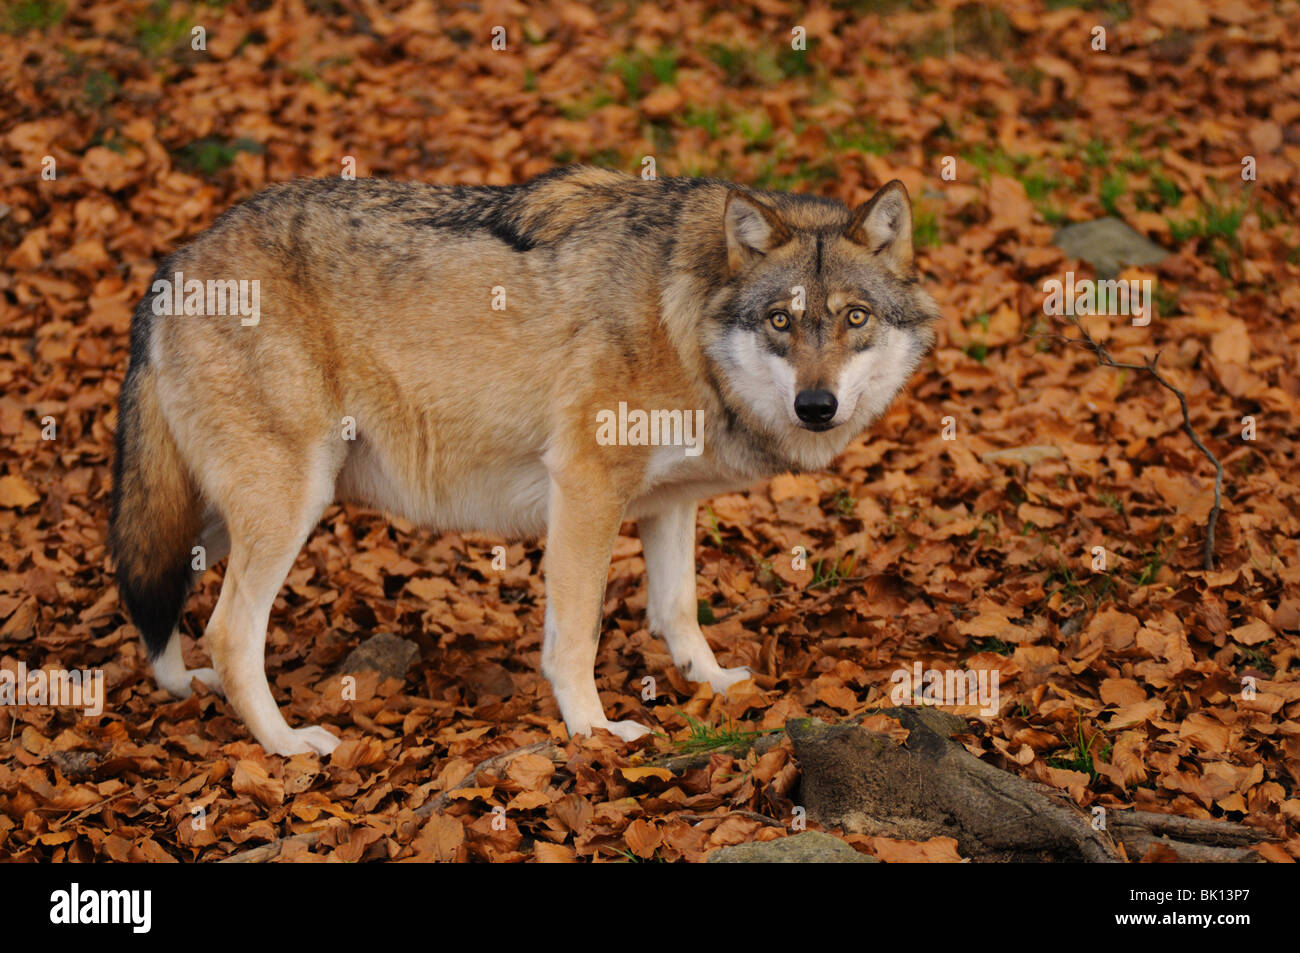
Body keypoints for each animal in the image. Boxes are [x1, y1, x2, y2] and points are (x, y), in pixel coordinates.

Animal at [109, 166, 940, 756]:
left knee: (154, 595)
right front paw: (596, 732)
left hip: (223, 514)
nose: (816, 405)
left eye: (854, 318)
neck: (681, 315)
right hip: (288, 502)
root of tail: (175, 260)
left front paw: (711, 683)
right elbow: (576, 635)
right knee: (227, 632)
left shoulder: (669, 503)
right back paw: (288, 746)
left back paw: (184, 687)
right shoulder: (586, 489)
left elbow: (677, 609)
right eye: (780, 321)